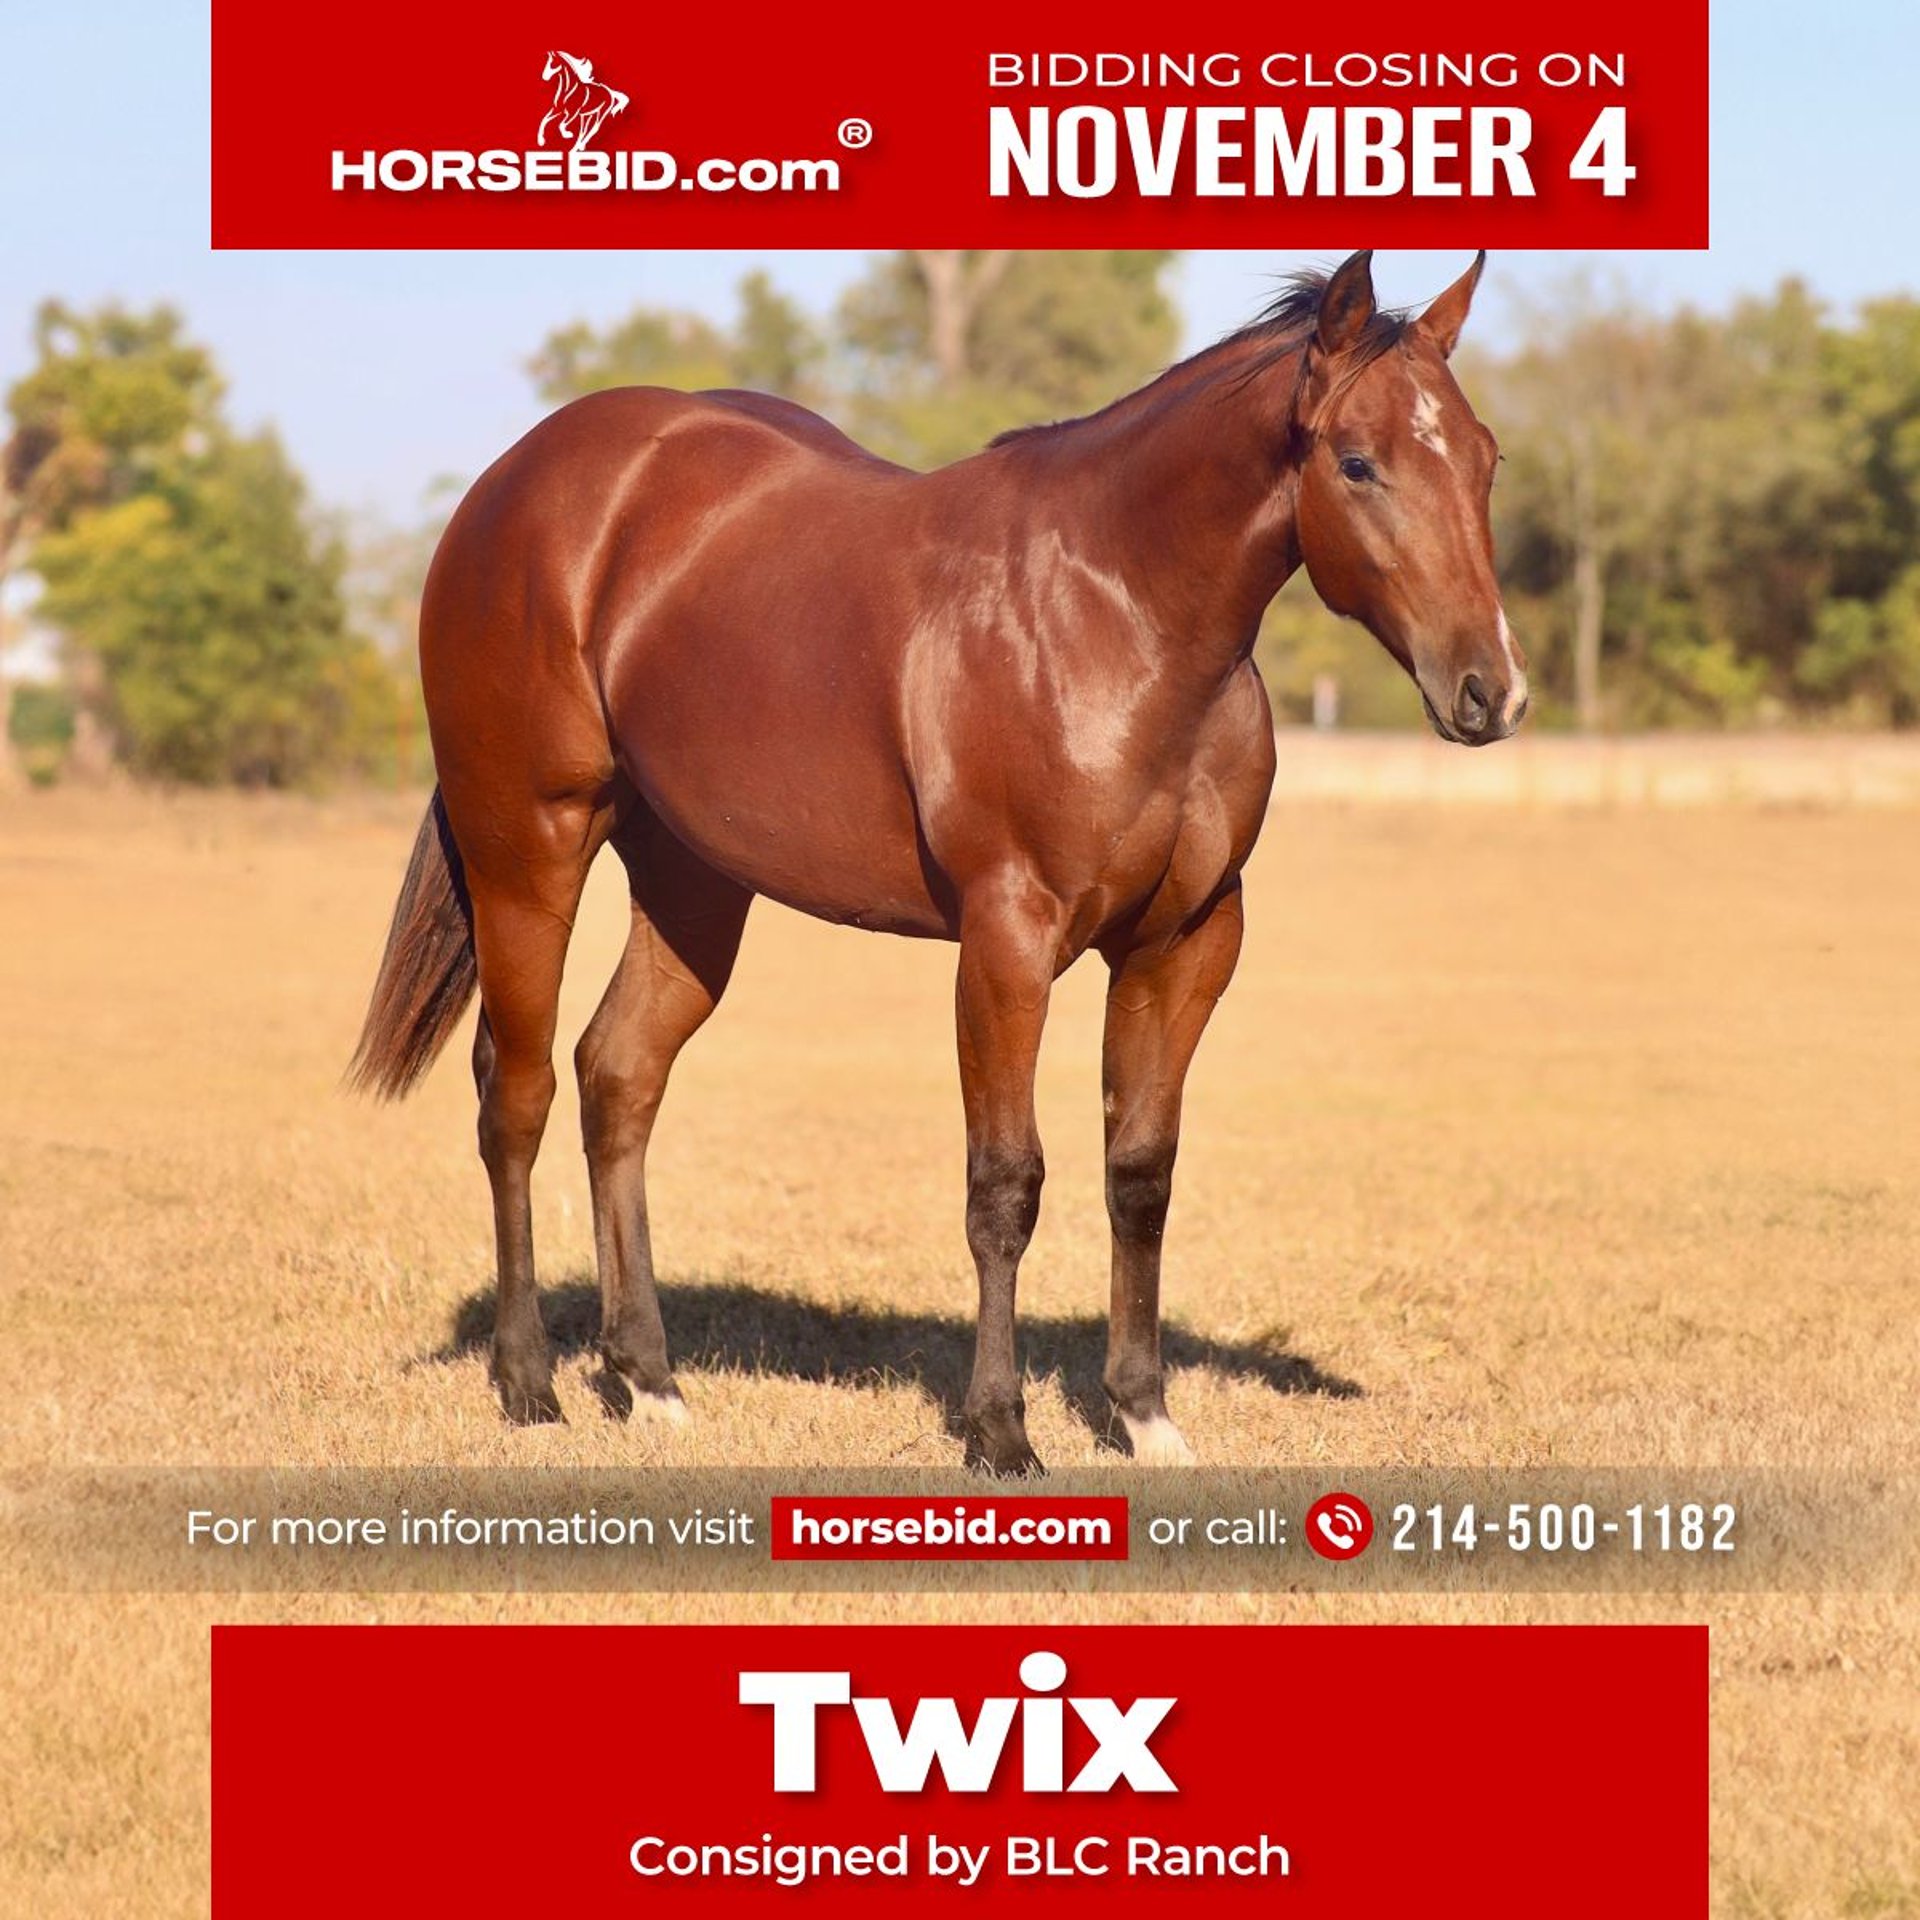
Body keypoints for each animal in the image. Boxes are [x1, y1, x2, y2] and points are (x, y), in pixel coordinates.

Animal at [349, 249, 1527, 1475]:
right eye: (1358, 461)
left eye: (1485, 456)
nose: (1491, 692)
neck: (1117, 615)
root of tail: (514, 483)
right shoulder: (1007, 942)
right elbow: (1005, 1184)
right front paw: (1001, 1432)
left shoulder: (1186, 944)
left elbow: (1140, 1173)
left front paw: (1144, 1413)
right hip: (528, 849)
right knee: (517, 1091)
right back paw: (529, 1382)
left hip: (691, 884)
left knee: (617, 1076)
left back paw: (652, 1381)